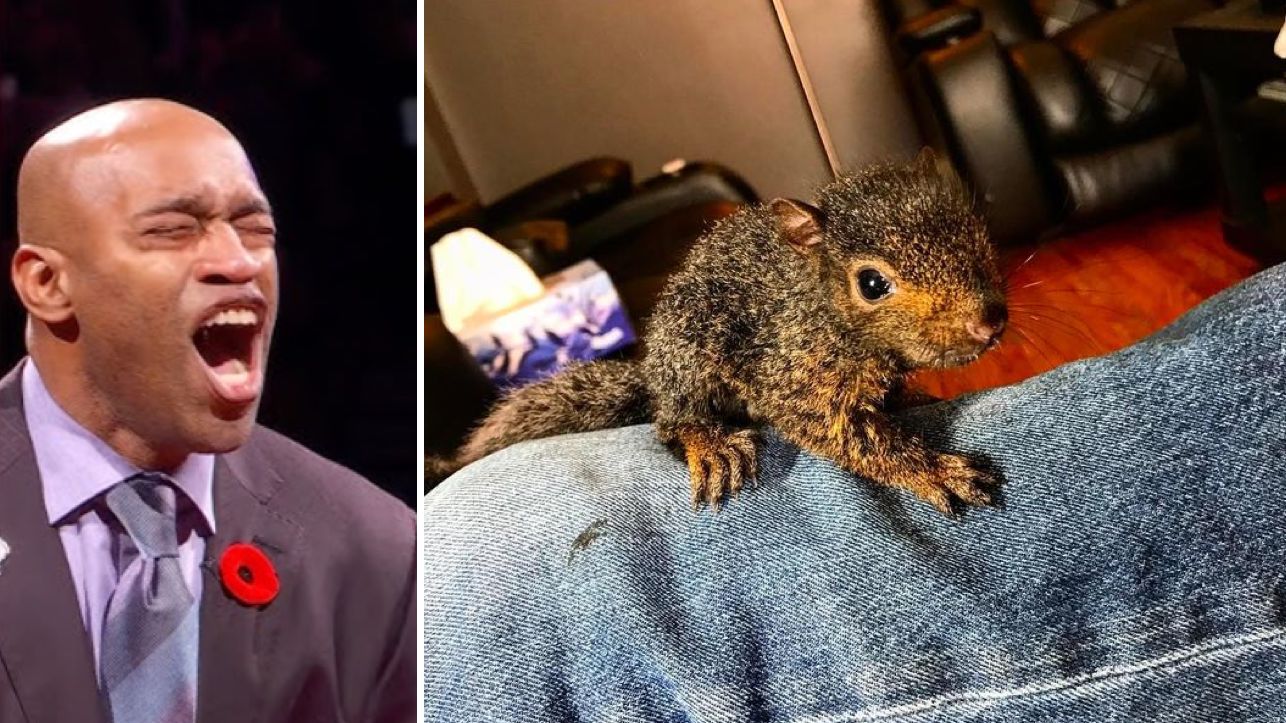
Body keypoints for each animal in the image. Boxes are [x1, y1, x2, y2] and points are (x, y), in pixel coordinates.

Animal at [428, 150, 1007, 517]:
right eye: (870, 283)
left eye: (981, 236)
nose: (989, 320)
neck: (822, 308)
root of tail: (653, 376)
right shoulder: (792, 371)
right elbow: (839, 430)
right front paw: (933, 470)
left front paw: (910, 398)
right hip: (689, 354)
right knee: (673, 422)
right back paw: (707, 442)